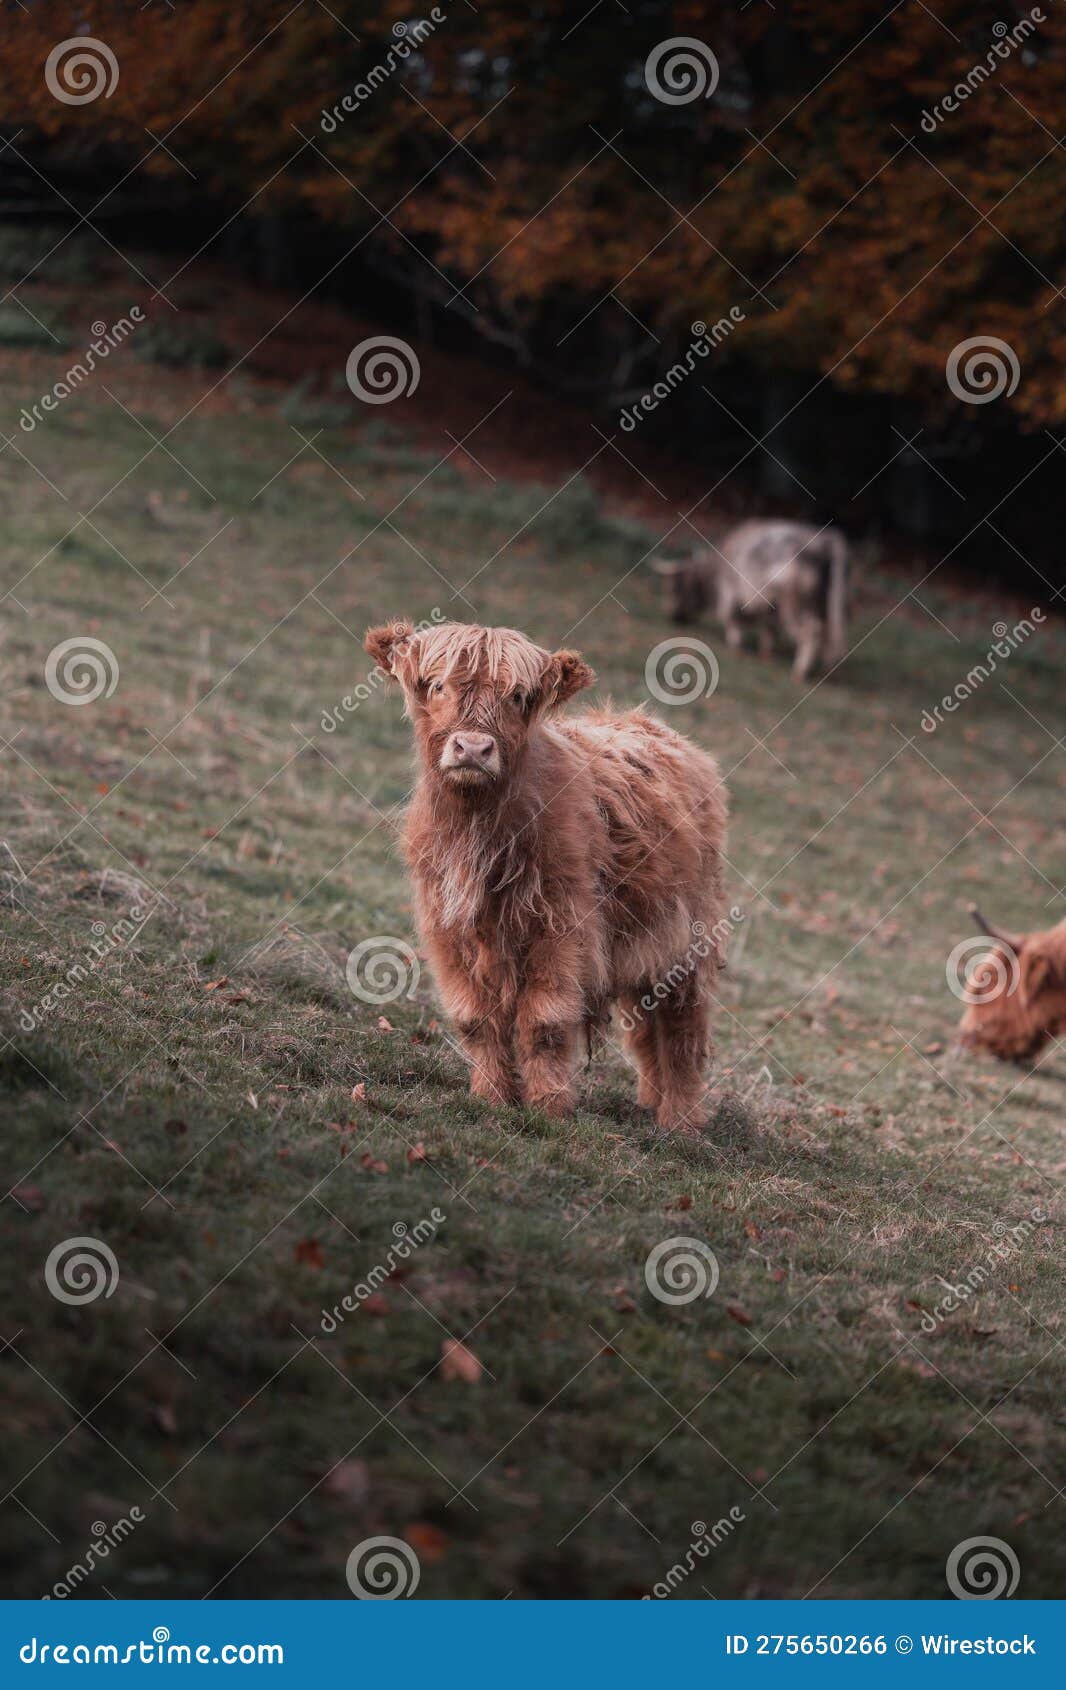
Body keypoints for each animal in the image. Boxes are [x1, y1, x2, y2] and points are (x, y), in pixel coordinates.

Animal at [363, 618, 729, 1133]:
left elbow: (545, 1021)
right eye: (436, 686)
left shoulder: (562, 925)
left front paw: (549, 1107)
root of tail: (651, 725)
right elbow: (475, 1019)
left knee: (682, 1029)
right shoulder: (447, 929)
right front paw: (491, 1098)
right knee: (647, 1029)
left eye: (518, 696)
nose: (473, 748)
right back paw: (651, 1104)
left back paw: (681, 1122)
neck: (479, 827)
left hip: (687, 938)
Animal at [654, 519, 849, 681]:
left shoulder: (730, 595)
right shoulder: (770, 606)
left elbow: (733, 621)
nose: (672, 616)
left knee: (811, 632)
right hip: (823, 607)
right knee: (826, 636)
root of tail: (827, 540)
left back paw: (800, 671)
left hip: (795, 604)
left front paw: (735, 646)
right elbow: (769, 629)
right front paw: (766, 652)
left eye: (674, 588)